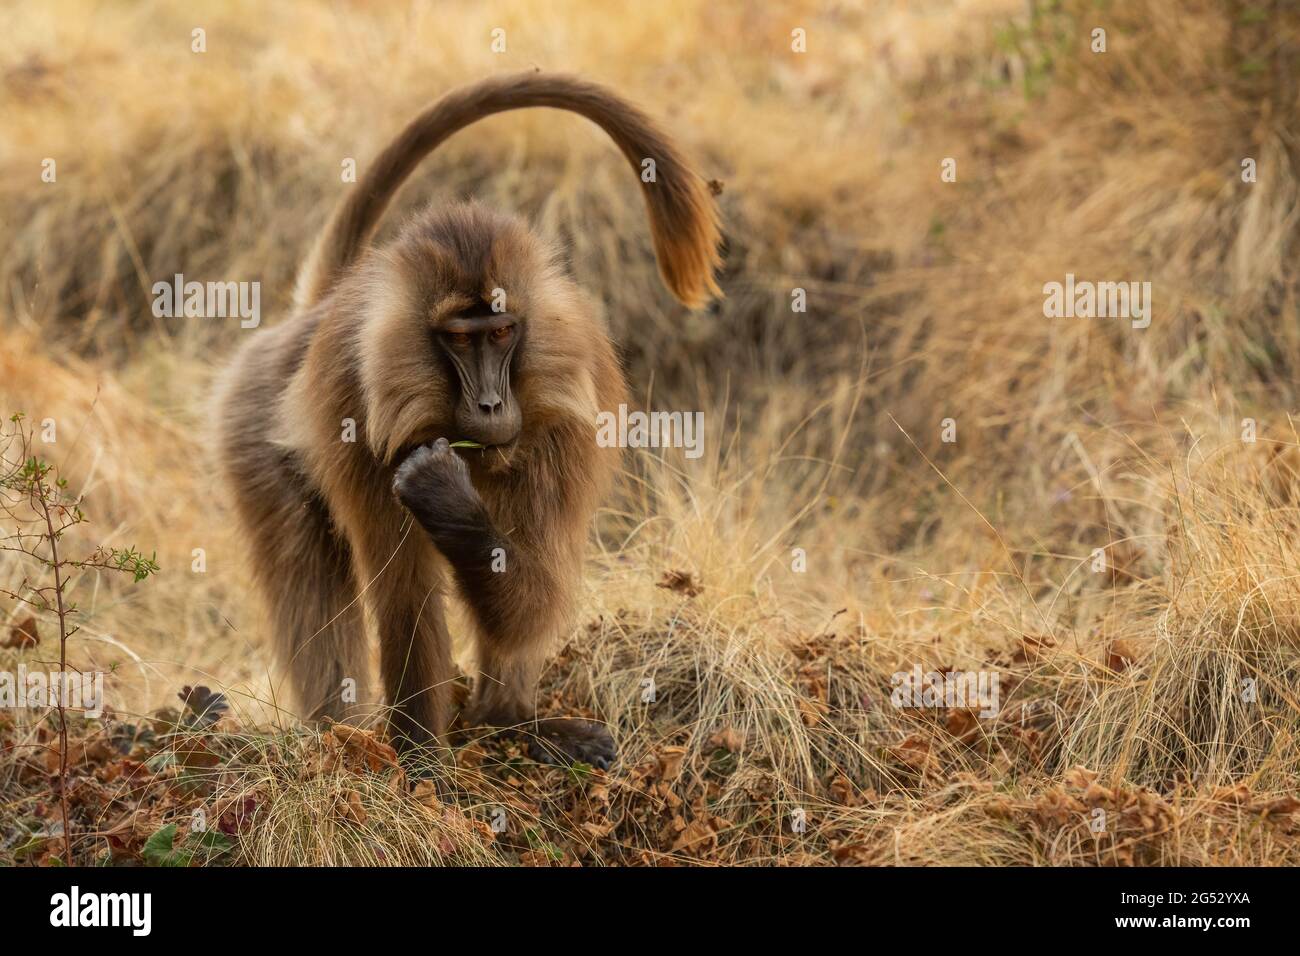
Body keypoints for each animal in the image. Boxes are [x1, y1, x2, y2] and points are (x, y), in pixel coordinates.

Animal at [212, 72, 722, 767]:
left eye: (502, 331)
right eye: (458, 338)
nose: (489, 405)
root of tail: (309, 316)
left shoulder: (566, 424)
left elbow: (540, 595)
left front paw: (443, 494)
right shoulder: (360, 421)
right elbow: (406, 595)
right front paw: (421, 765)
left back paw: (509, 724)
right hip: (251, 424)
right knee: (309, 578)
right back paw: (338, 735)